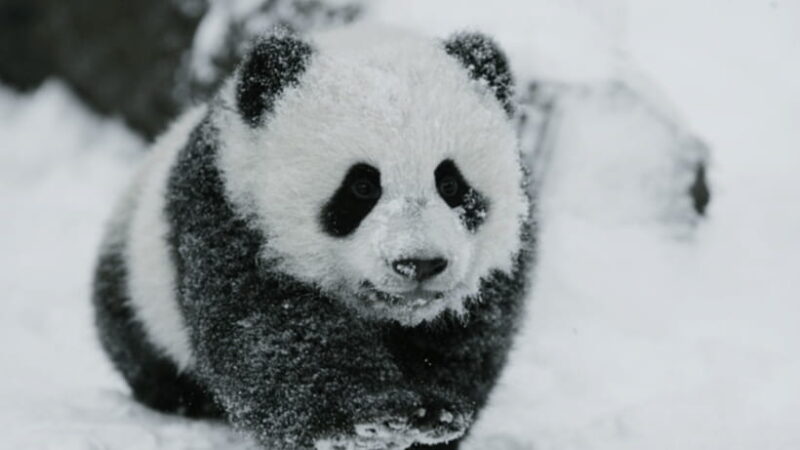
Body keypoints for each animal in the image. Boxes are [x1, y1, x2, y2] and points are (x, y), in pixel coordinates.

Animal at [93, 25, 534, 450]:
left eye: (451, 183)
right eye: (361, 187)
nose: (419, 264)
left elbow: (465, 343)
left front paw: (434, 413)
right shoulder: (228, 214)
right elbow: (272, 334)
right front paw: (373, 417)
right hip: (137, 290)